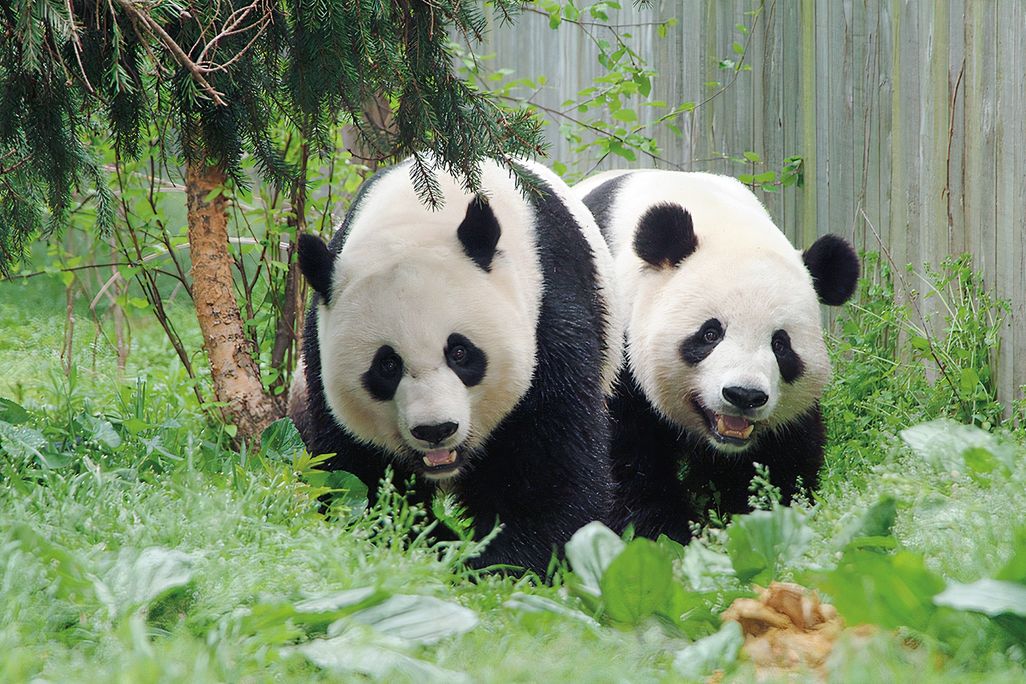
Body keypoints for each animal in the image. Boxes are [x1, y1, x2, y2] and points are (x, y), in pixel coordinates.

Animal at [288, 156, 622, 574]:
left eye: (460, 353)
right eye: (387, 366)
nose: (435, 430)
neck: (422, 212)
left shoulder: (549, 311)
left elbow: (548, 466)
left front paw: (501, 562)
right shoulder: (320, 347)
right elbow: (358, 472)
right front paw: (421, 546)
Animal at [574, 169, 859, 543]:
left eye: (781, 345)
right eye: (710, 334)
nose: (744, 395)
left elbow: (783, 459)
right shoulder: (617, 348)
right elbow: (625, 457)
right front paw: (668, 532)